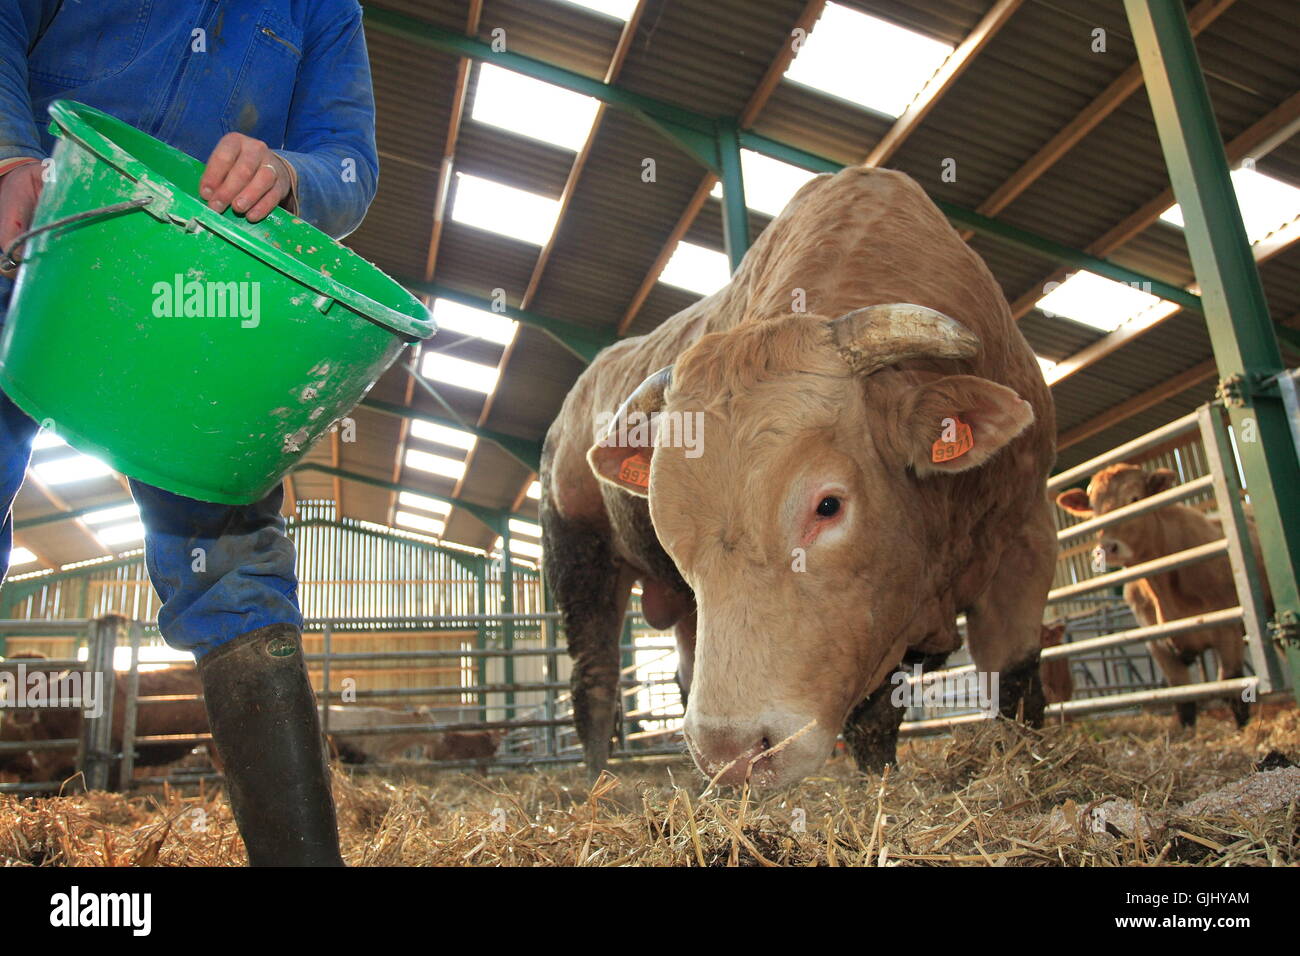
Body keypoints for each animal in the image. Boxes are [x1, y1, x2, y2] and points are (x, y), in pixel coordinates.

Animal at [541, 166, 1057, 788]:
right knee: (593, 680)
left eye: (827, 505)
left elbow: (1017, 679)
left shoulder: (1028, 534)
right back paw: (595, 778)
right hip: (579, 559)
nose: (732, 752)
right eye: (666, 527)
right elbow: (873, 716)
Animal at [1054, 463, 1267, 727]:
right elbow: (1184, 702)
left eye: (1134, 499)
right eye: (1093, 508)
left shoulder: (1227, 632)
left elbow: (1233, 690)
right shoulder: (1158, 645)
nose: (1106, 548)